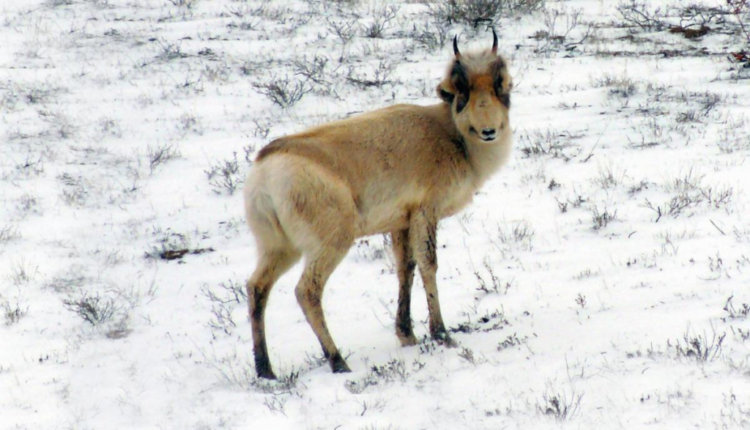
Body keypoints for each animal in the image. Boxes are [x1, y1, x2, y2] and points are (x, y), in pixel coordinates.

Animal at [244, 31, 516, 380]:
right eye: (461, 90)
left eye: (499, 84)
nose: (488, 131)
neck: (446, 131)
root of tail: (267, 167)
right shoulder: (426, 214)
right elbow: (428, 265)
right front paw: (441, 334)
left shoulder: (401, 224)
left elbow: (405, 269)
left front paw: (407, 334)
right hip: (330, 245)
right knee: (306, 291)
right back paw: (338, 361)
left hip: (279, 249)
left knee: (257, 287)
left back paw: (265, 369)